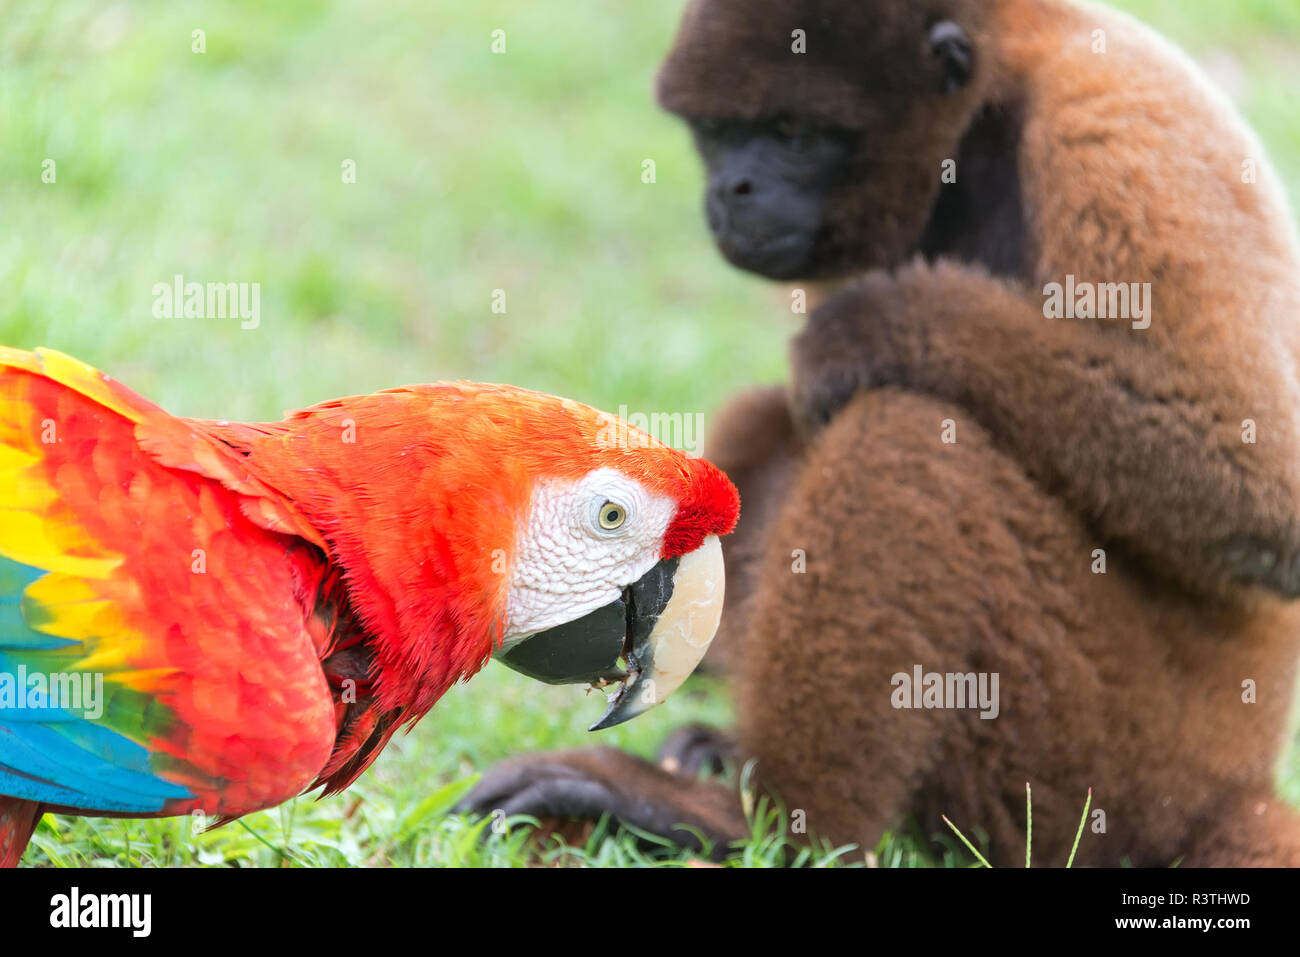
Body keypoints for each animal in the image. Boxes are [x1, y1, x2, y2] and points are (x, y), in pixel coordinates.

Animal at [457, 0, 1300, 863]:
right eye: (718, 133)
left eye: (794, 133)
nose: (732, 189)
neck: (989, 106)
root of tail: (1226, 790)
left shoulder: (1110, 129)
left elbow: (1263, 486)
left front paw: (880, 323)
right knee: (776, 420)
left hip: (1106, 758)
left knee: (907, 429)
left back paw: (759, 819)